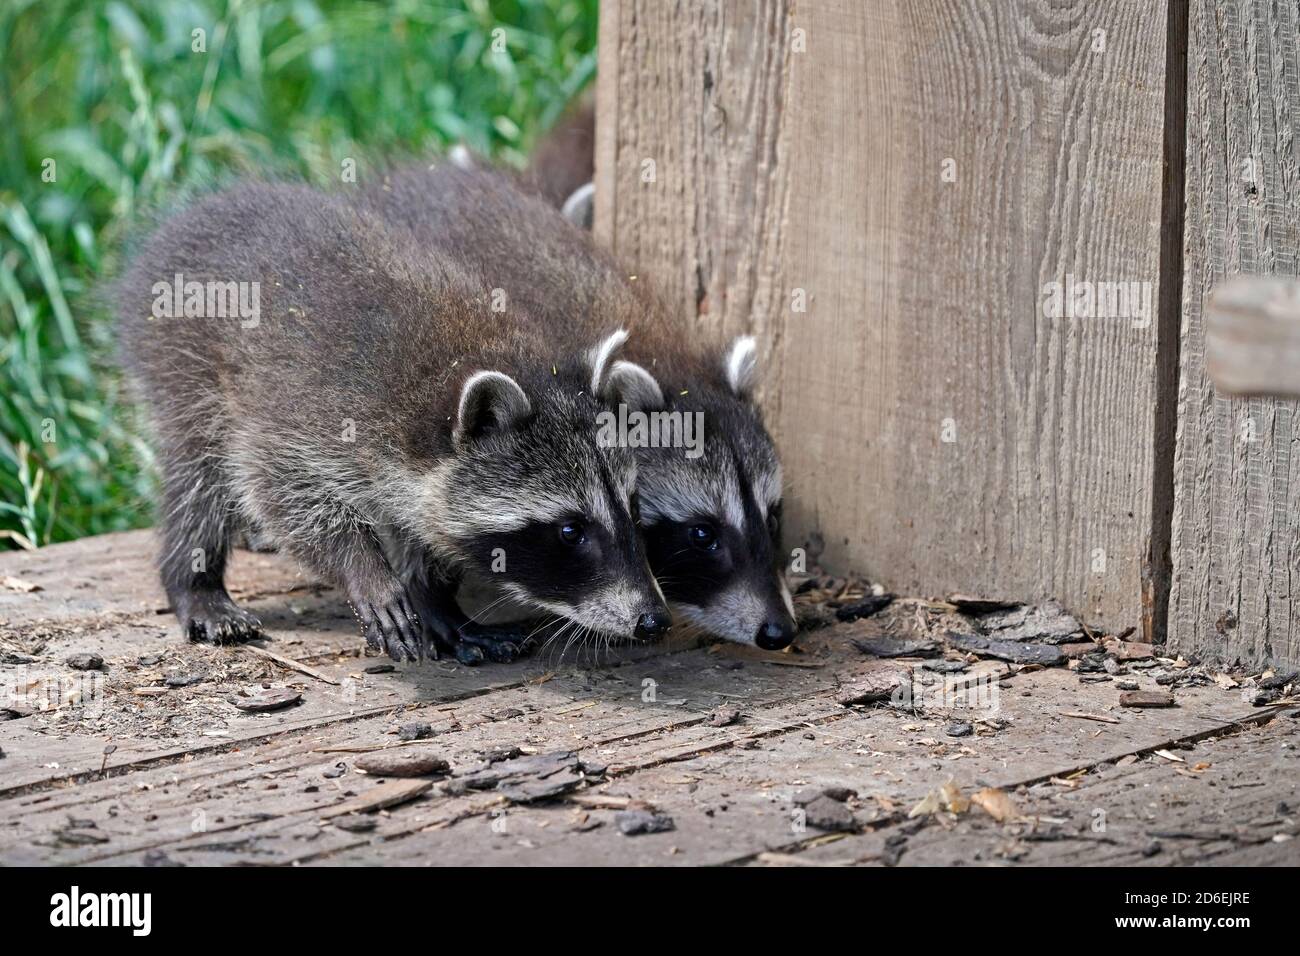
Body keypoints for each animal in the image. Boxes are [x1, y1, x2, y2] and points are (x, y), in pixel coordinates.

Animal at [115, 181, 671, 664]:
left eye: (632, 506)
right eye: (571, 530)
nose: (654, 621)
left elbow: (422, 529)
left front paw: (434, 600)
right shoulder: (313, 418)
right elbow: (281, 494)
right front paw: (365, 570)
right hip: (184, 364)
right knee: (202, 481)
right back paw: (194, 578)